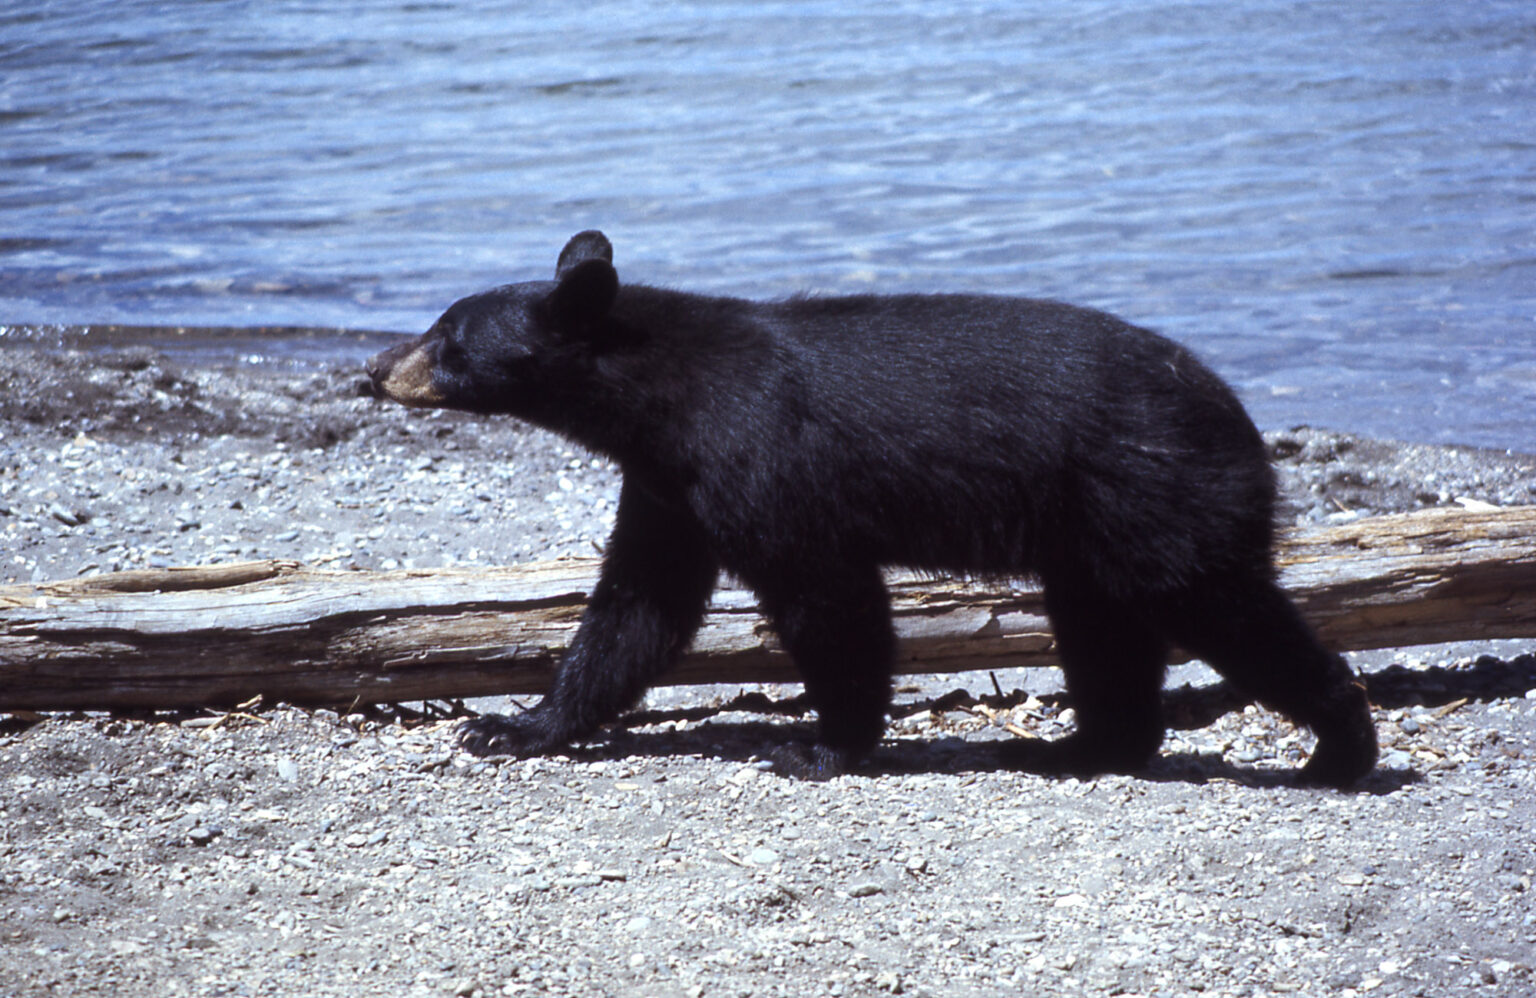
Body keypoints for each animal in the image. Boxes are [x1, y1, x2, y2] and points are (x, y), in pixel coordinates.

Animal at [366, 230, 1377, 786]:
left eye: (449, 337)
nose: (374, 368)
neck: (664, 405)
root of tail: (1239, 415)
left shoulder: (764, 459)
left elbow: (831, 599)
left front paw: (822, 748)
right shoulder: (668, 487)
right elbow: (637, 608)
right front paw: (511, 725)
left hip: (1158, 497)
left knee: (1223, 606)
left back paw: (1340, 749)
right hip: (1093, 534)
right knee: (1104, 631)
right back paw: (1077, 750)